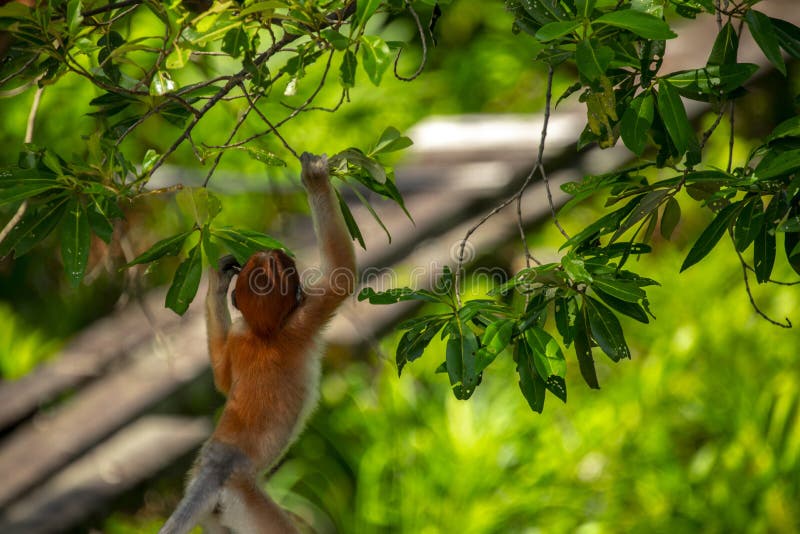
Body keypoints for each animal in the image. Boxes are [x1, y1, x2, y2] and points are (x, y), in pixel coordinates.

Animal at [159, 152, 356, 534]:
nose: (274, 251)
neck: (264, 332)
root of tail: (215, 470)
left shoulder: (239, 333)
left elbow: (223, 378)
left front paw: (219, 282)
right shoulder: (302, 323)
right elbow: (341, 271)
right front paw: (315, 177)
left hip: (216, 514)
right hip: (245, 498)